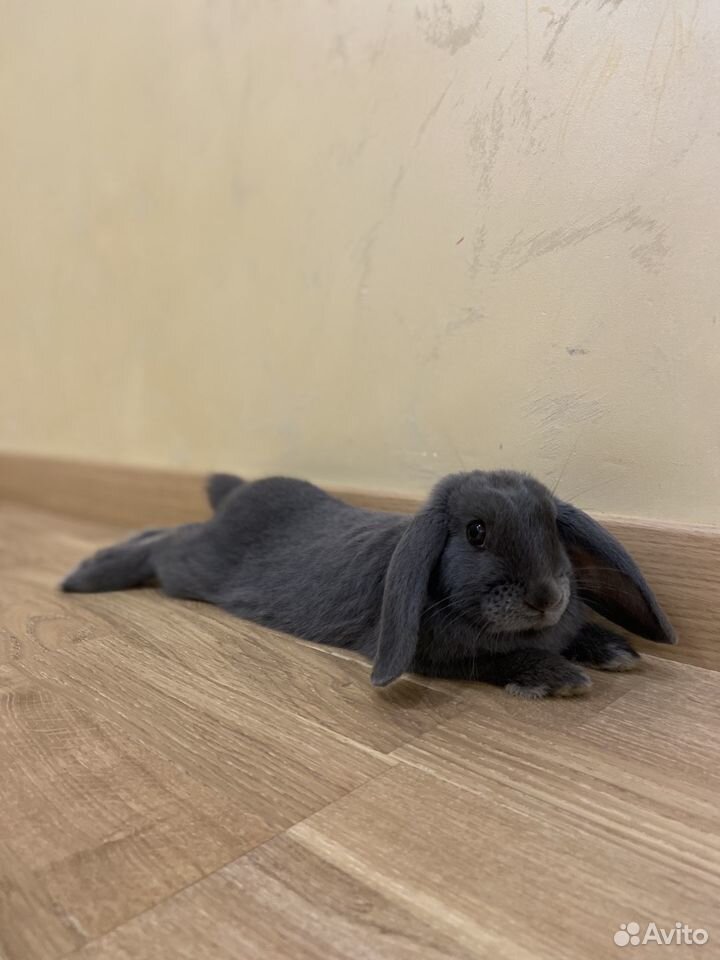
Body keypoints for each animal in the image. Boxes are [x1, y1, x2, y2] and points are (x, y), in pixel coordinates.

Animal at [60, 469, 676, 698]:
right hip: (193, 565)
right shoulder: (435, 657)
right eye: (475, 532)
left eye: (552, 525)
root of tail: (237, 491)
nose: (547, 596)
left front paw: (614, 649)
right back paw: (82, 575)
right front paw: (558, 677)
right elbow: (494, 660)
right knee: (164, 544)